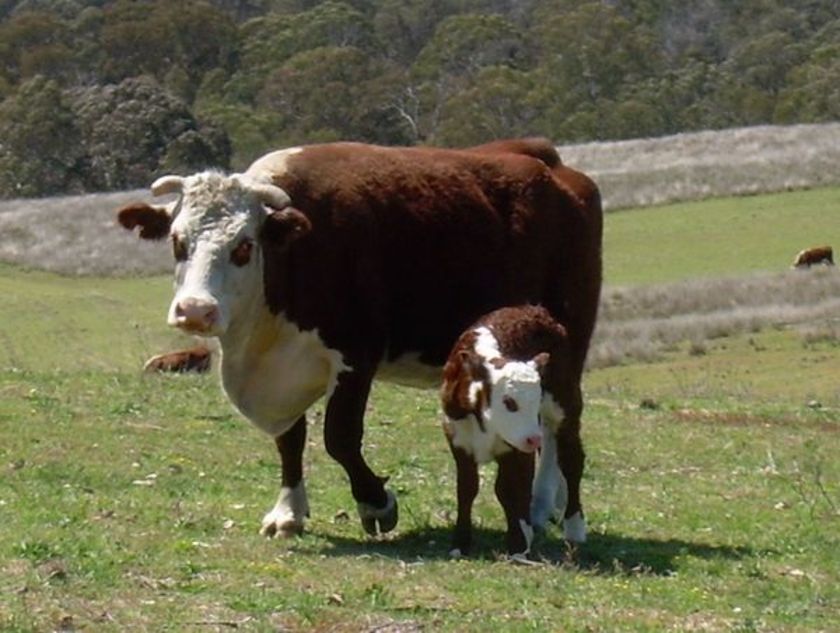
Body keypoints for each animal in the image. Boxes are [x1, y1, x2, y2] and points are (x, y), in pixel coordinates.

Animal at [441, 305, 573, 558]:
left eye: (536, 400)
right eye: (509, 402)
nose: (533, 439)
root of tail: (535, 310)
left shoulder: (515, 450)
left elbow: (511, 489)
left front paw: (518, 544)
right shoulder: (459, 441)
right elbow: (467, 488)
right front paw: (460, 543)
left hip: (563, 406)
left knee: (572, 460)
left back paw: (575, 529)